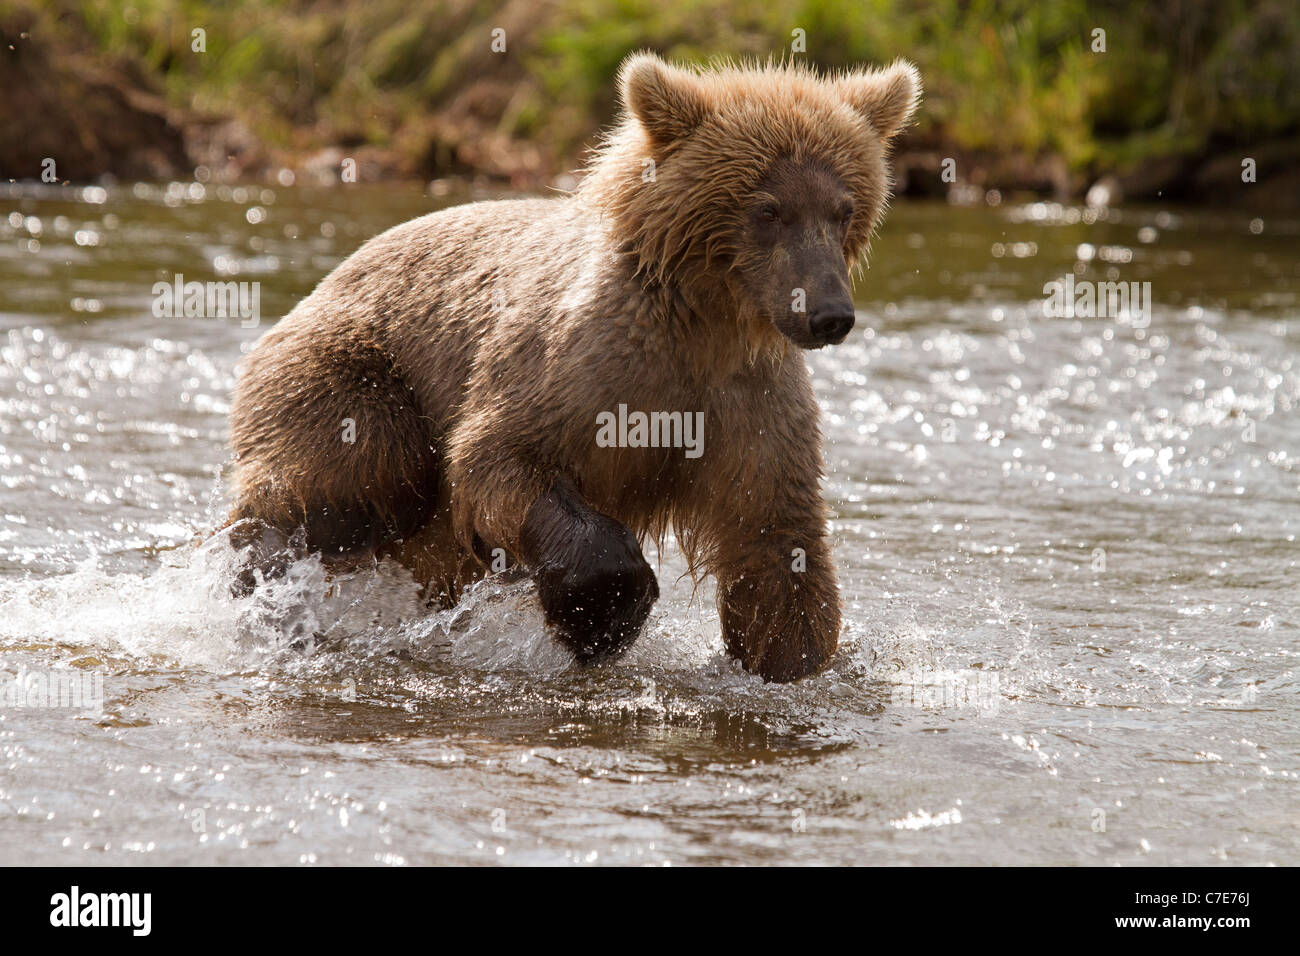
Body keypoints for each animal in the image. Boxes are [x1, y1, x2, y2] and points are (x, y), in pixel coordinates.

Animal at [225, 52, 921, 682]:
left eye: (844, 208)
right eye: (769, 208)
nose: (830, 314)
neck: (704, 328)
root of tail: (321, 283)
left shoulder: (750, 404)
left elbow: (777, 541)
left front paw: (793, 662)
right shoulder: (576, 370)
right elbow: (498, 460)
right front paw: (604, 613)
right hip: (362, 372)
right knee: (345, 480)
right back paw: (263, 579)